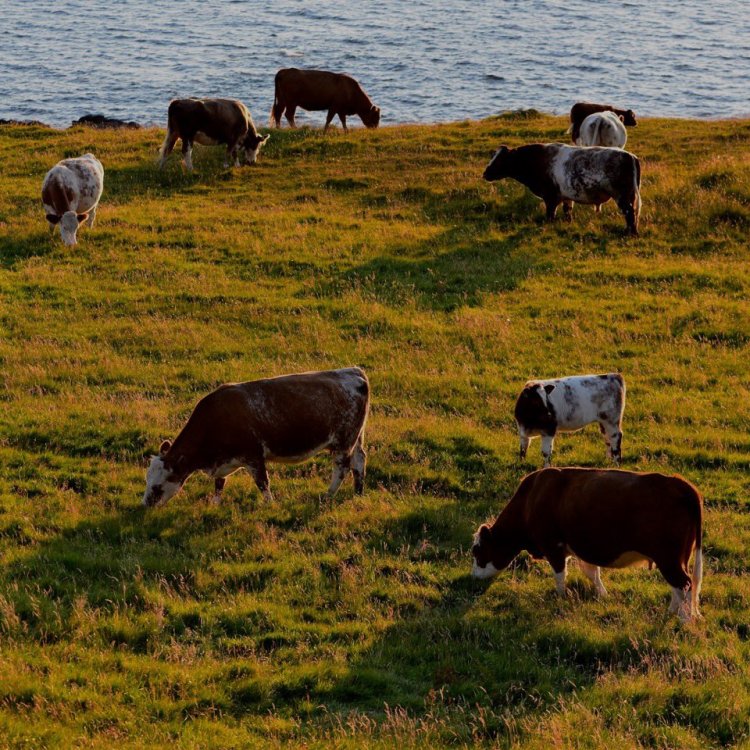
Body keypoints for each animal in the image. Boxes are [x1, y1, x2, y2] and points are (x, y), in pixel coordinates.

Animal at [143, 367, 370, 508]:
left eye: (157, 487)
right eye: (147, 480)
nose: (144, 505)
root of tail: (354, 372)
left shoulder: (253, 456)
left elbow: (263, 483)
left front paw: (270, 504)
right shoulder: (223, 462)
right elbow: (219, 484)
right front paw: (214, 505)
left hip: (343, 442)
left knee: (342, 468)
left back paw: (328, 495)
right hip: (356, 437)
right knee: (359, 461)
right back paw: (358, 492)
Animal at [471, 468, 703, 622]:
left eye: (478, 551)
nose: (472, 578)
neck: (532, 499)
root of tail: (680, 484)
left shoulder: (553, 547)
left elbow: (560, 576)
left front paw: (562, 598)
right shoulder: (580, 548)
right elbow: (591, 573)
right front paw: (603, 595)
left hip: (669, 558)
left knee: (684, 584)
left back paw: (684, 620)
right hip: (676, 558)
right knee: (680, 587)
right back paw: (672, 612)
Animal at [482, 143, 642, 235]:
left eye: (500, 159)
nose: (485, 173)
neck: (536, 159)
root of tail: (630, 156)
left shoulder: (550, 197)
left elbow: (550, 215)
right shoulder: (566, 197)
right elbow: (567, 212)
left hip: (622, 196)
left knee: (630, 213)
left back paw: (630, 233)